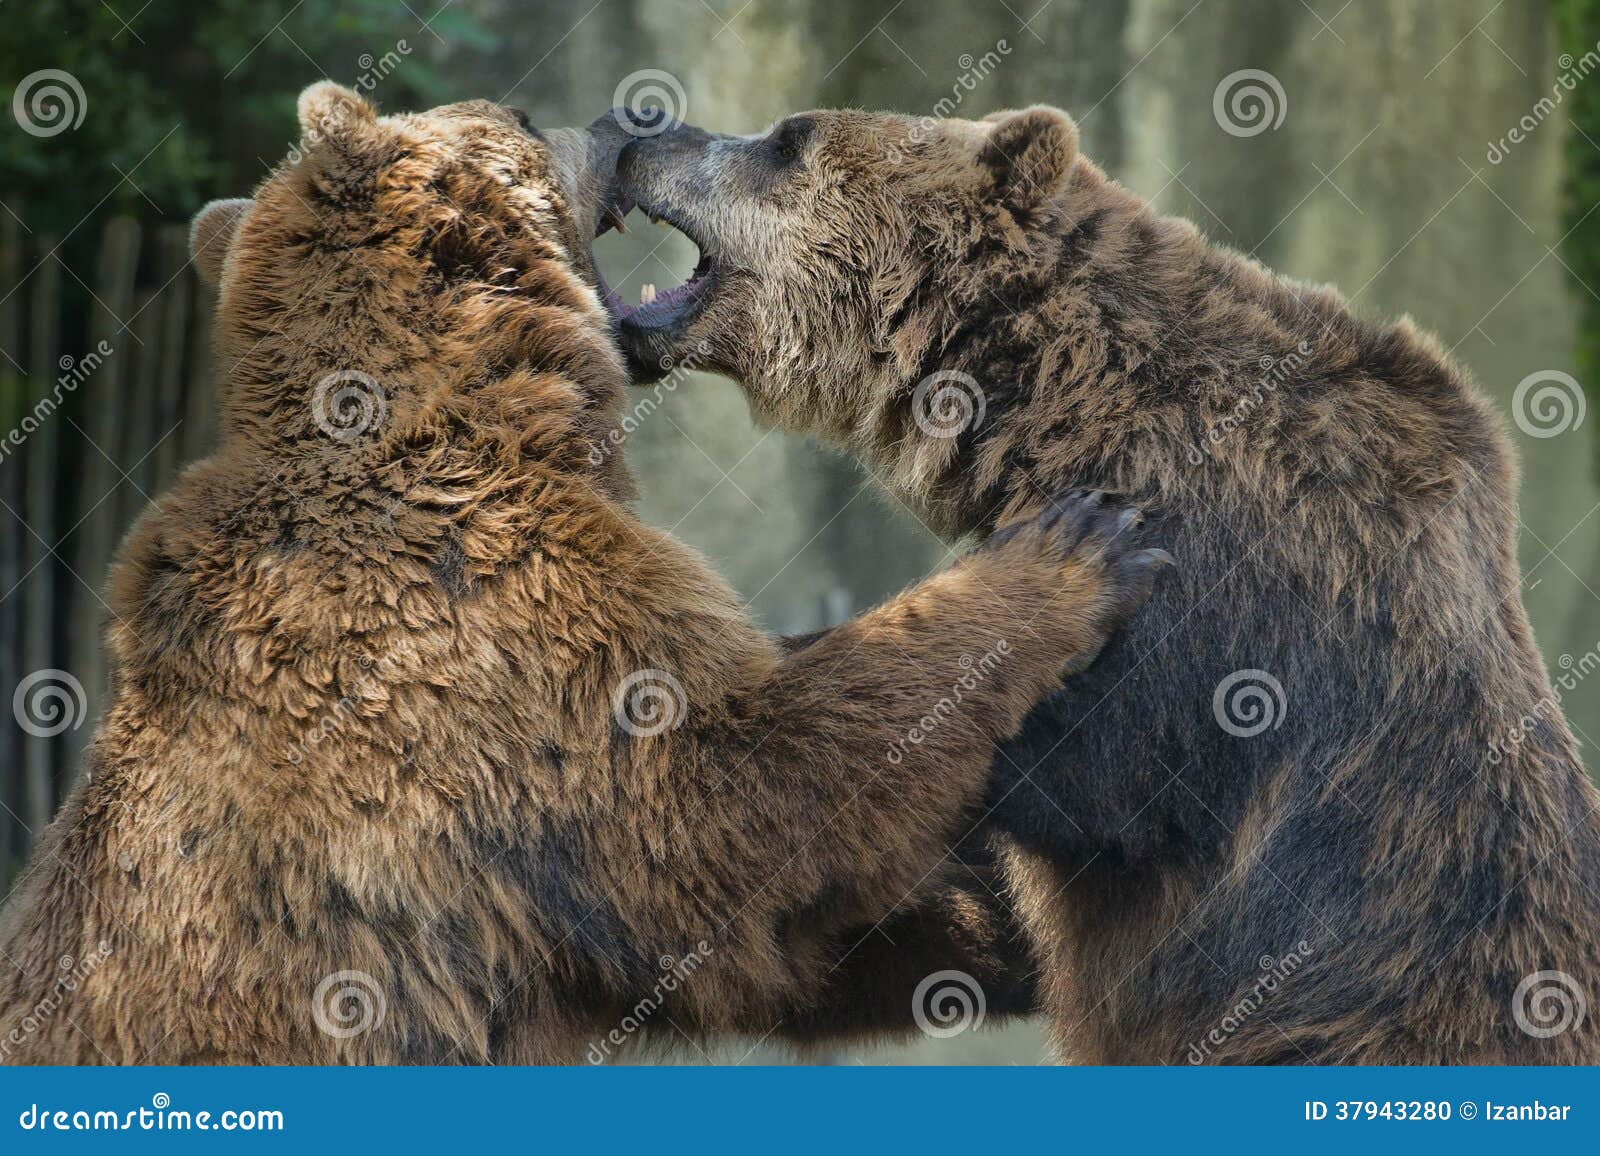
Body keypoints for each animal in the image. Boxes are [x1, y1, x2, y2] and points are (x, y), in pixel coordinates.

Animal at [0, 85, 1169, 1065]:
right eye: (525, 111)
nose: (629, 113)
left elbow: (777, 938)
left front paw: (1014, 928)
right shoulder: (491, 635)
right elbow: (732, 799)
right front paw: (1073, 550)